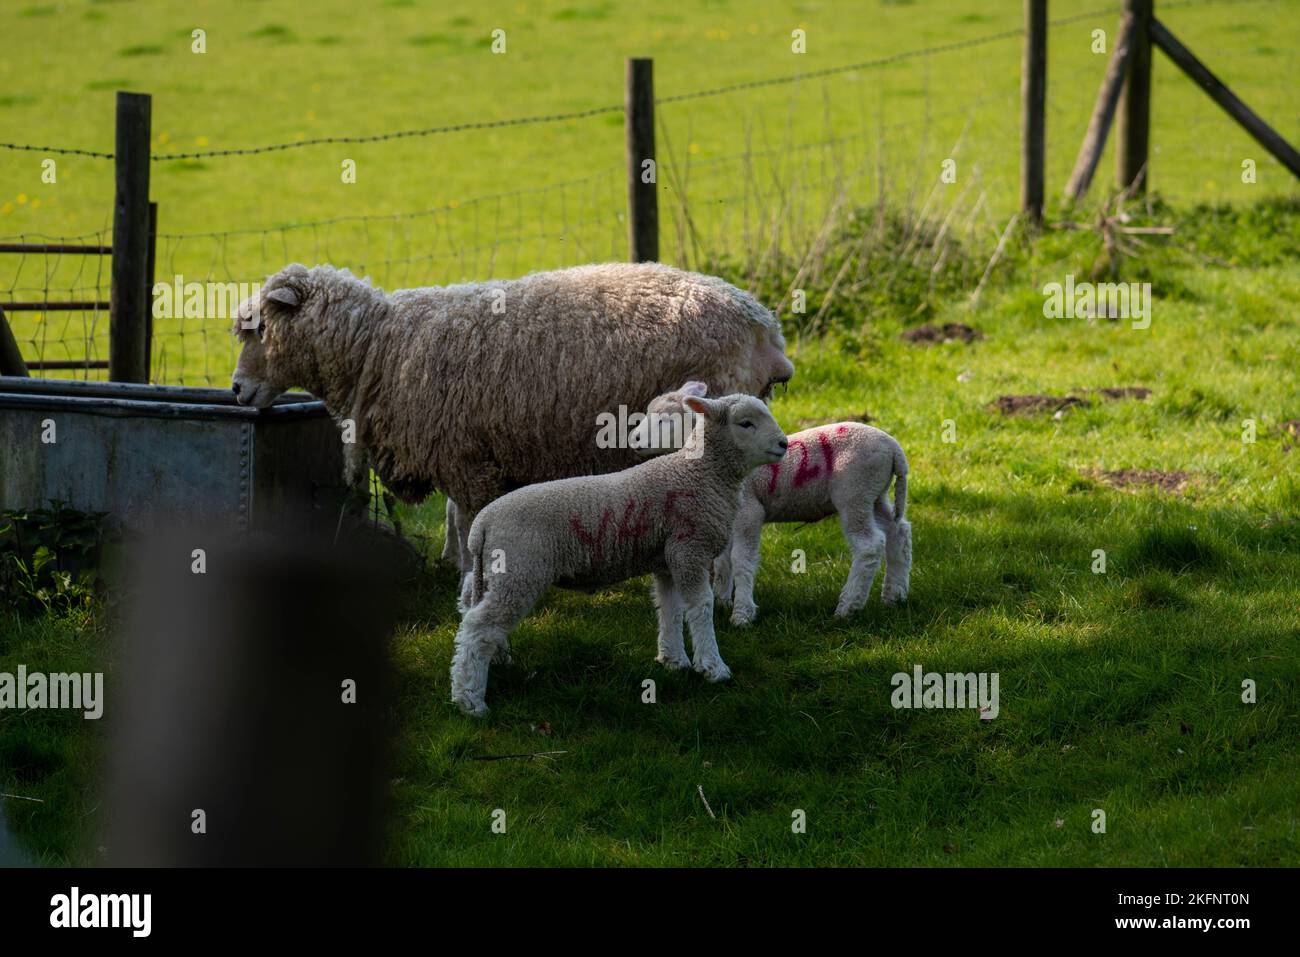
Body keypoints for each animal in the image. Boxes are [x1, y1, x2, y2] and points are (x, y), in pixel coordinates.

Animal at [231, 262, 794, 579]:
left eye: (258, 328)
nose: (236, 390)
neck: (379, 347)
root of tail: (765, 328)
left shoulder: (464, 456)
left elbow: (467, 518)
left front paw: (467, 572)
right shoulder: (461, 449)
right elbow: (455, 516)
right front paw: (452, 562)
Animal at [449, 392, 789, 716]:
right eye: (745, 423)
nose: (784, 444)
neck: (700, 473)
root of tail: (482, 524)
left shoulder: (666, 559)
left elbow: (670, 608)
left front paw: (673, 660)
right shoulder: (688, 549)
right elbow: (701, 607)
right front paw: (713, 667)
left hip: (497, 574)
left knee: (477, 617)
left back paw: (494, 664)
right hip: (520, 570)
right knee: (478, 628)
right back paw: (470, 701)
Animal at [642, 386, 911, 624]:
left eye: (665, 420)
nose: (636, 438)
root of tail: (894, 448)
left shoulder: (749, 512)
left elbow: (742, 558)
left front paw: (742, 613)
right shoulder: (726, 515)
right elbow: (723, 561)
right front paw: (723, 600)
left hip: (855, 491)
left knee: (869, 544)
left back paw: (848, 607)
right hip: (875, 493)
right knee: (898, 531)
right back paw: (894, 595)